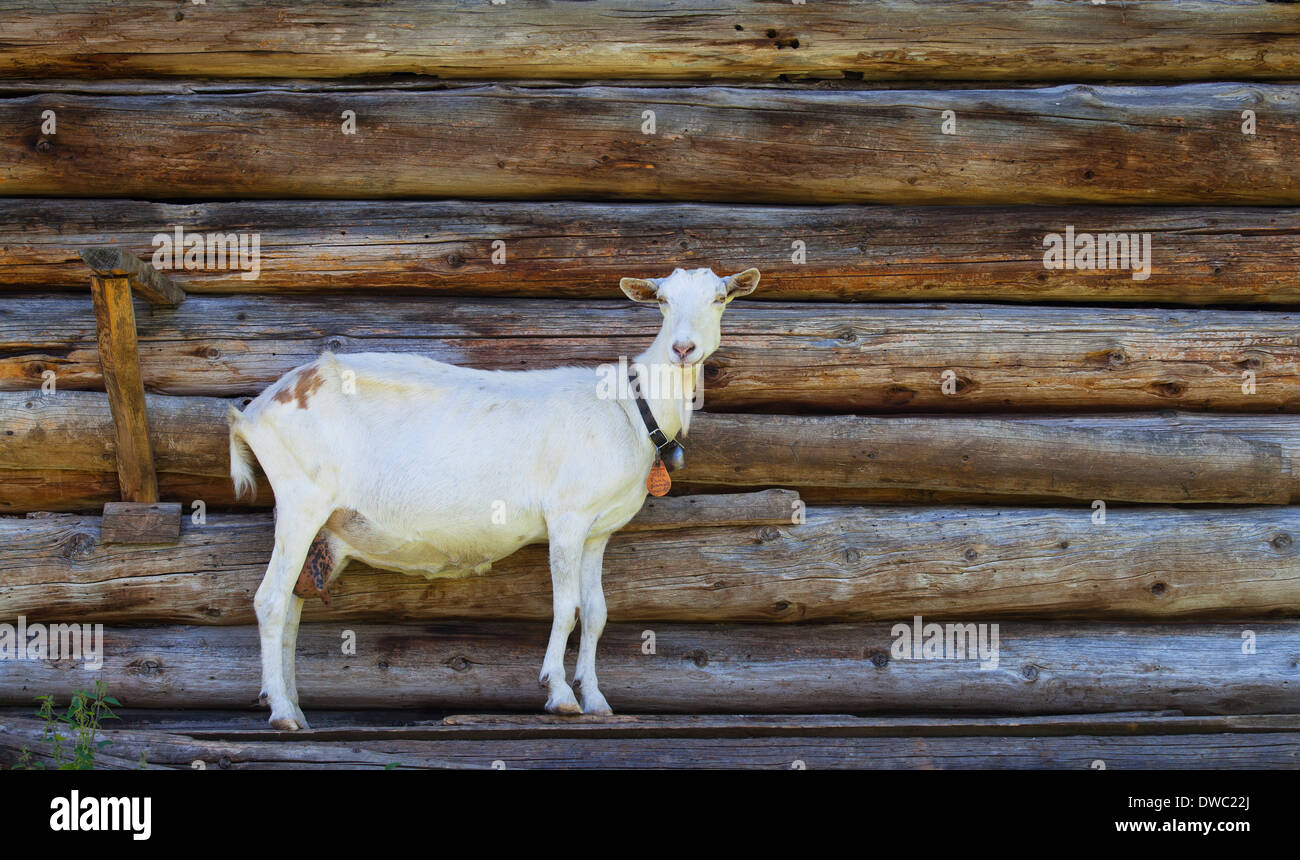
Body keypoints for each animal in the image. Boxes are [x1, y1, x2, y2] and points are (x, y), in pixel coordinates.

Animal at [227, 267, 760, 729]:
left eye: (720, 298)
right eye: (663, 301)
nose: (683, 348)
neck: (629, 406)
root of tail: (253, 411)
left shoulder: (598, 530)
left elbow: (596, 614)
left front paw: (596, 700)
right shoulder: (566, 516)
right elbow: (566, 606)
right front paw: (559, 695)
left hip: (321, 524)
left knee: (293, 606)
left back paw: (294, 706)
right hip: (301, 498)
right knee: (270, 600)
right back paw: (282, 713)